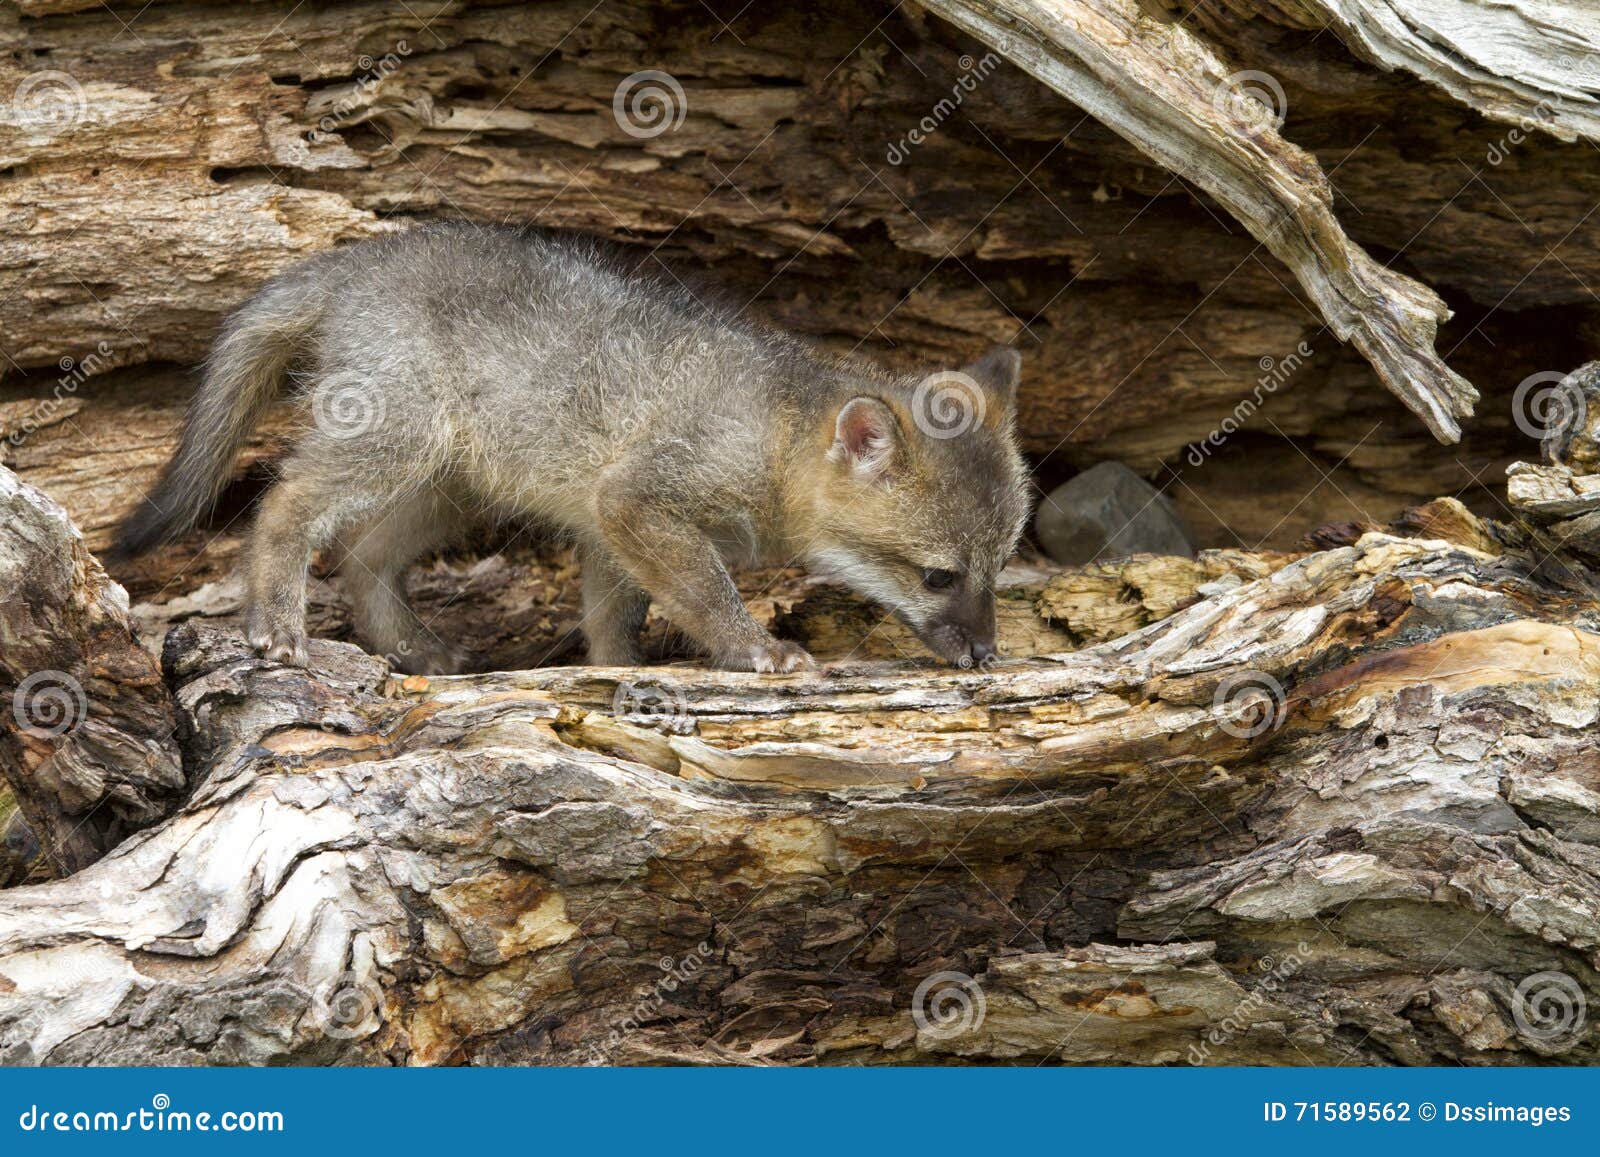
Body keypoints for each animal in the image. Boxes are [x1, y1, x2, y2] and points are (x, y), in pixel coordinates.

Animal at [113, 224, 1030, 675]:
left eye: (1001, 568)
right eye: (939, 576)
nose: (988, 655)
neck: (772, 429)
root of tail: (364, 257)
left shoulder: (606, 526)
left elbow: (611, 625)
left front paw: (621, 674)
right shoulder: (639, 502)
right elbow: (705, 594)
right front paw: (752, 650)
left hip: (453, 487)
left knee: (362, 556)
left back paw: (414, 650)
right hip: (397, 446)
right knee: (284, 503)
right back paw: (275, 623)